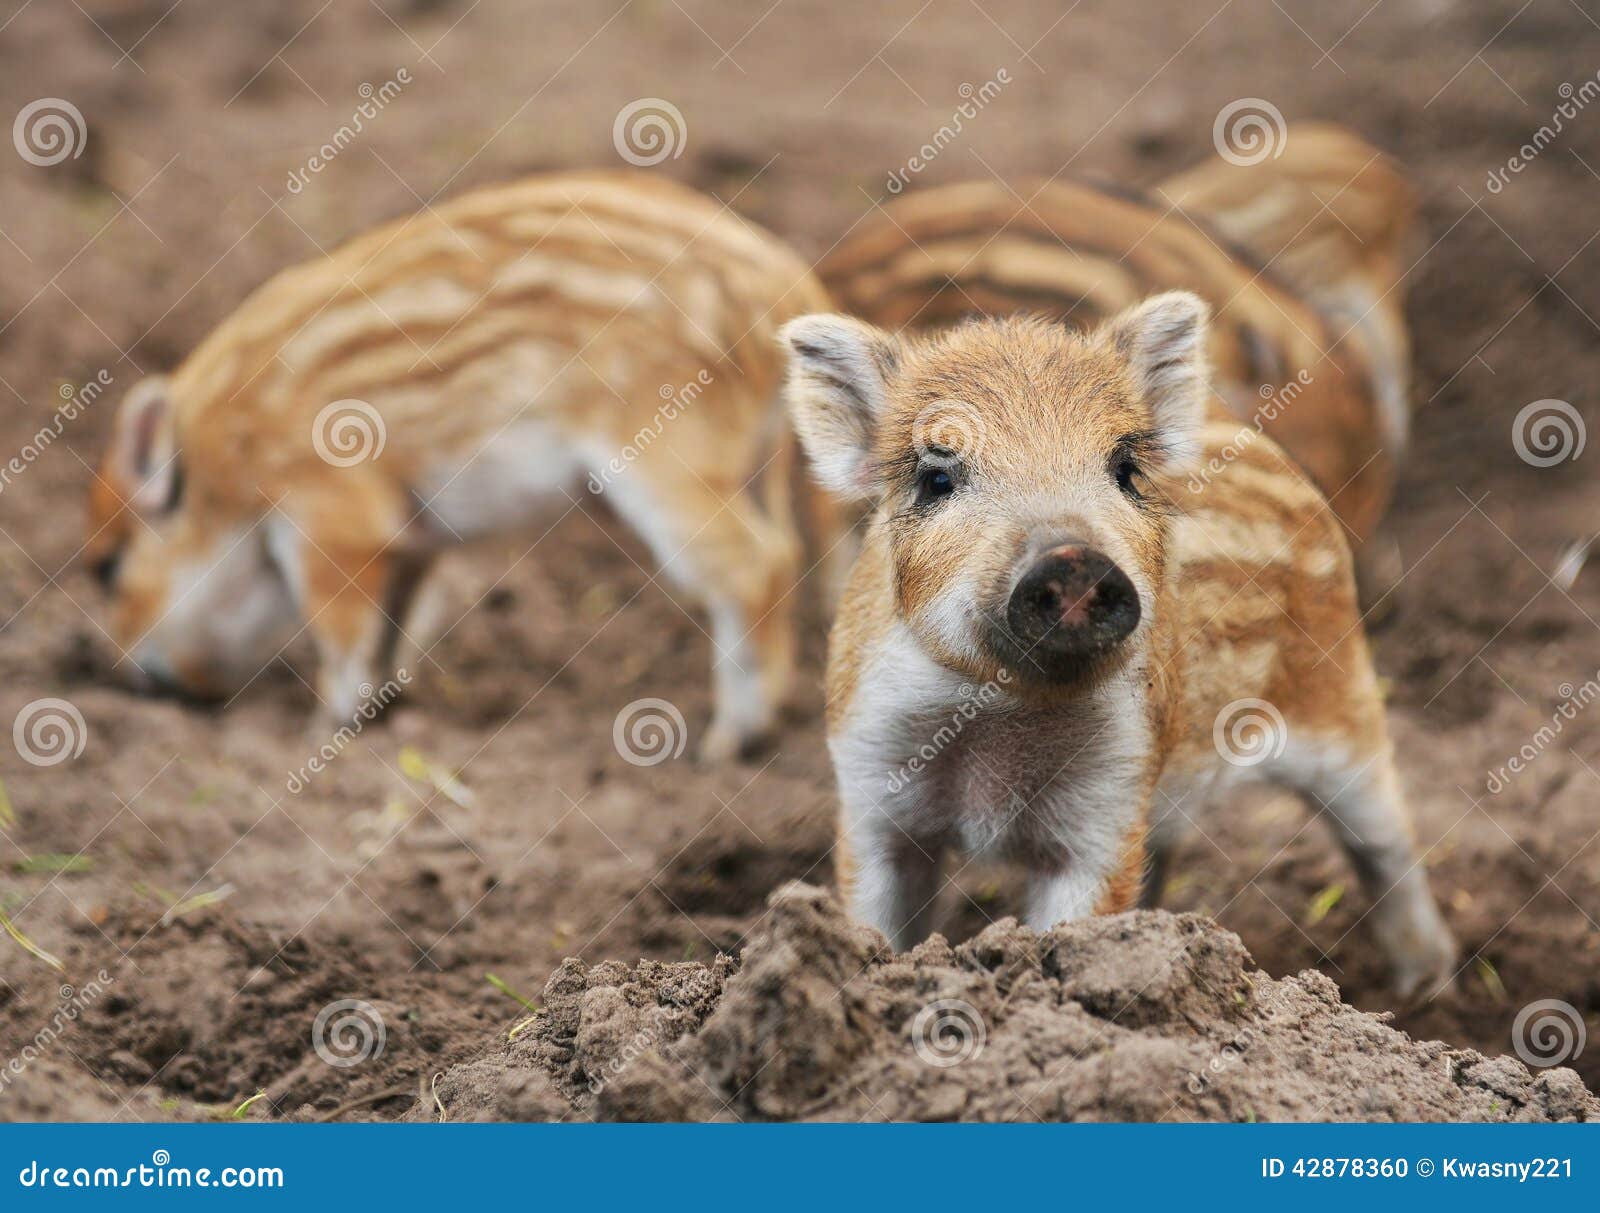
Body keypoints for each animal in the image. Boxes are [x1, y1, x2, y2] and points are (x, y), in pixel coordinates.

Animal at [780, 291, 1456, 998]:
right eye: (936, 478)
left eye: (1125, 470)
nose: (1073, 559)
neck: (1000, 717)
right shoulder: (869, 787)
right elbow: (878, 921)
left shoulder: (1109, 805)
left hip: (1341, 694)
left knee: (1385, 833)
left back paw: (1427, 986)